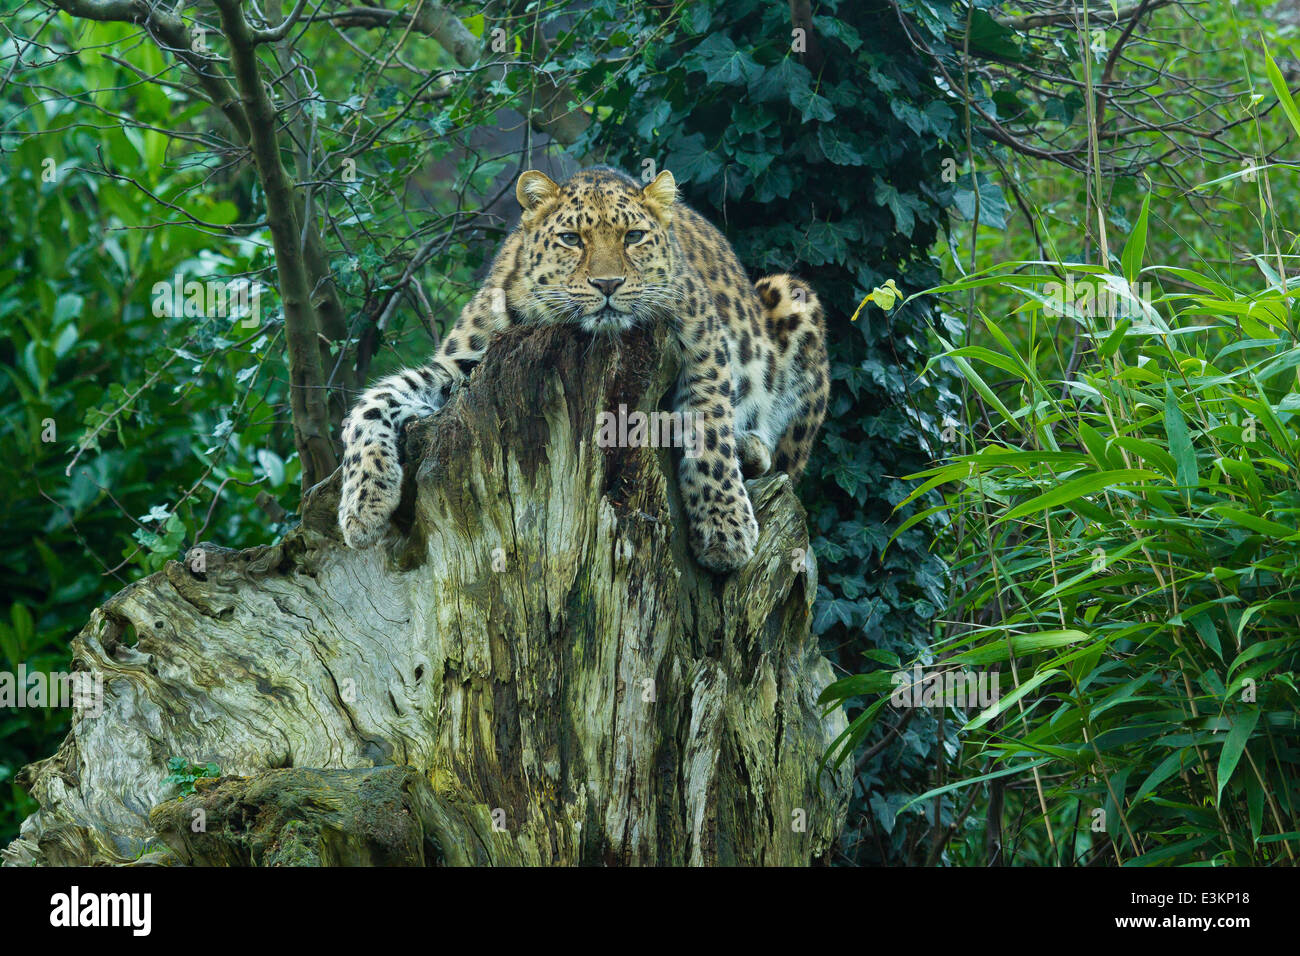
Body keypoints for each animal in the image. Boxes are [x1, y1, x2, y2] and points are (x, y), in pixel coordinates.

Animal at [337, 165, 829, 573]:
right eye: (572, 239)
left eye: (634, 236)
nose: (607, 284)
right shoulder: (458, 368)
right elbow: (373, 403)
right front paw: (362, 507)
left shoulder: (705, 344)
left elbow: (710, 429)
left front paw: (726, 531)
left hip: (793, 295)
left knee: (785, 460)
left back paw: (751, 447)